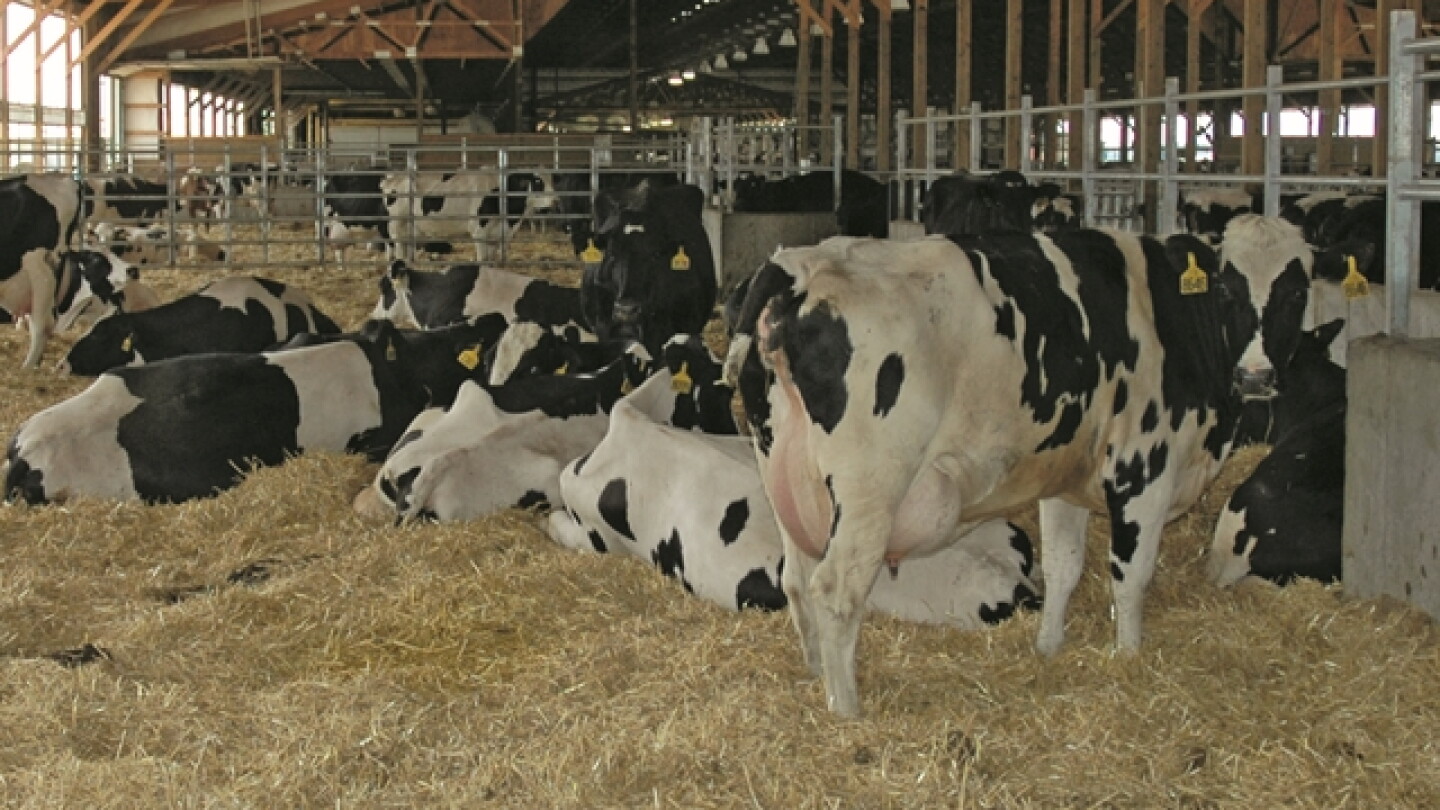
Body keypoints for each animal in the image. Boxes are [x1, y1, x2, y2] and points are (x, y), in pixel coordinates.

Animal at [723, 214, 1316, 716]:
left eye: (1297, 291)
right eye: (1227, 287)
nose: (1257, 376)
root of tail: (800, 264)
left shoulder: (1064, 474)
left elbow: (1062, 566)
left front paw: (1049, 646)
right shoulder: (1143, 469)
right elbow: (1131, 576)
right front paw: (1129, 658)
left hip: (783, 471)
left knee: (798, 580)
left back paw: (816, 675)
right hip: (869, 487)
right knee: (836, 592)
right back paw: (845, 709)